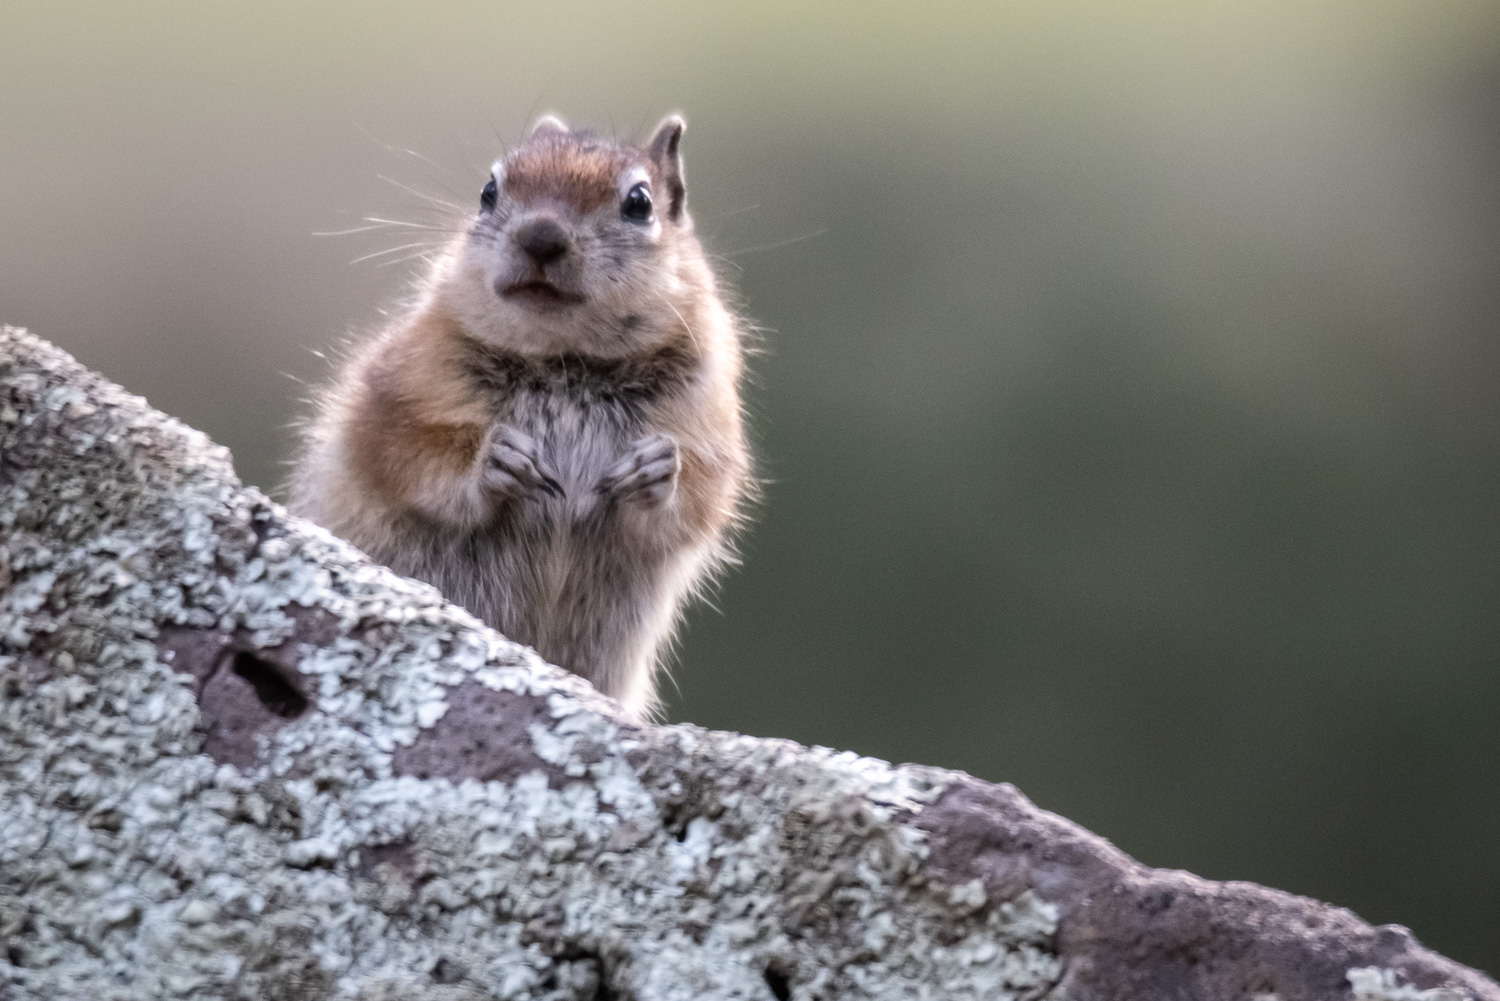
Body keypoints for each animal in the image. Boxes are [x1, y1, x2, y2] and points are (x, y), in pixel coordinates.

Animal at [290, 114, 753, 721]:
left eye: (639, 202)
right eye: (489, 191)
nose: (541, 236)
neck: (566, 363)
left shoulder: (712, 434)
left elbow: (695, 500)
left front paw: (655, 471)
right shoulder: (396, 401)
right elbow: (411, 456)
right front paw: (497, 462)